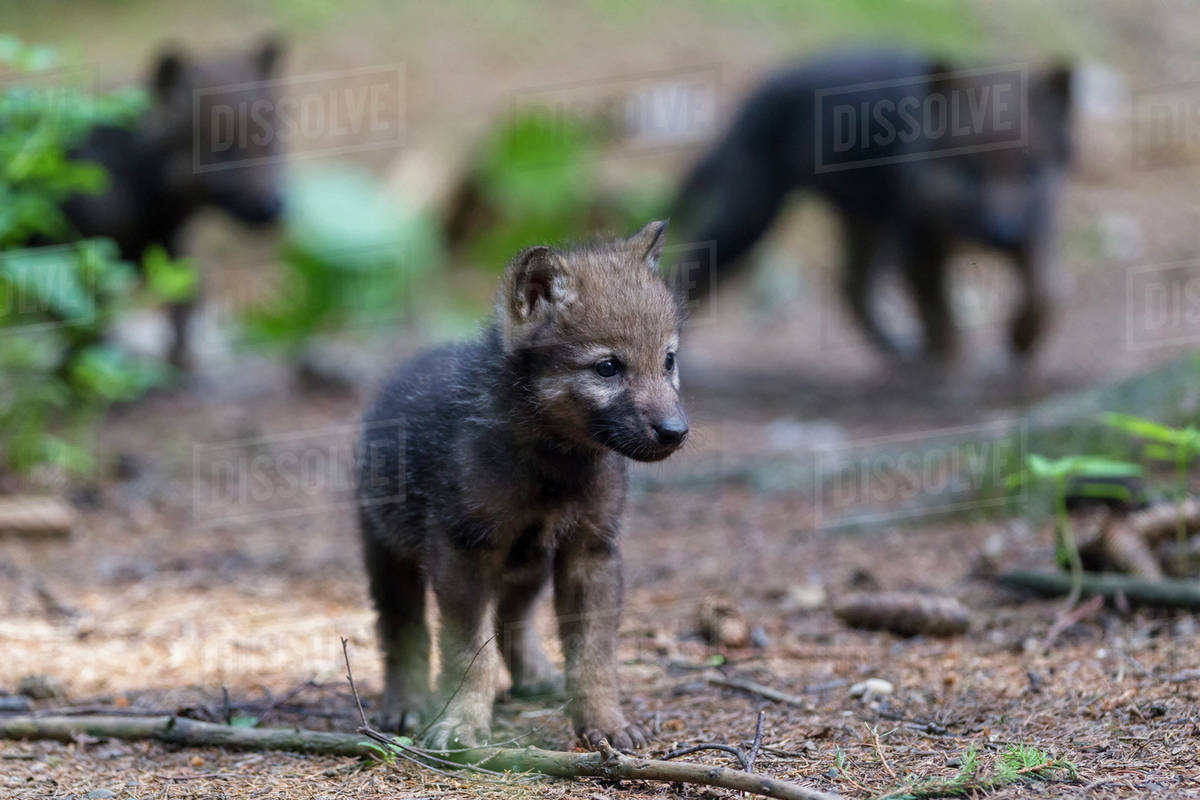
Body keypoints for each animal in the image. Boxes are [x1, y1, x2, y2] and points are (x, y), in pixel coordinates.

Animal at [62, 37, 287, 366]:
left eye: (271, 142)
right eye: (223, 150)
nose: (275, 206)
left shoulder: (164, 241)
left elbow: (190, 291)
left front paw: (181, 355)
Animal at [356, 221, 687, 751]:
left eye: (669, 360)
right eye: (607, 367)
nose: (676, 432)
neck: (553, 466)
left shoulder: (590, 551)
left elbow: (593, 655)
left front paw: (605, 722)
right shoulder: (464, 552)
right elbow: (468, 653)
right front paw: (462, 723)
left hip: (526, 566)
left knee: (513, 617)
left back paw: (535, 677)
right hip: (387, 553)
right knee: (402, 630)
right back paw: (405, 705)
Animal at [670, 49, 1073, 361]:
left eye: (1033, 171)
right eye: (969, 173)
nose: (1002, 233)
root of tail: (747, 104)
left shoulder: (1036, 228)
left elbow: (1046, 290)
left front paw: (1022, 339)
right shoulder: (915, 243)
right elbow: (938, 312)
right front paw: (948, 364)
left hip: (865, 223)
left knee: (852, 287)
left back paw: (897, 351)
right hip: (752, 214)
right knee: (692, 266)